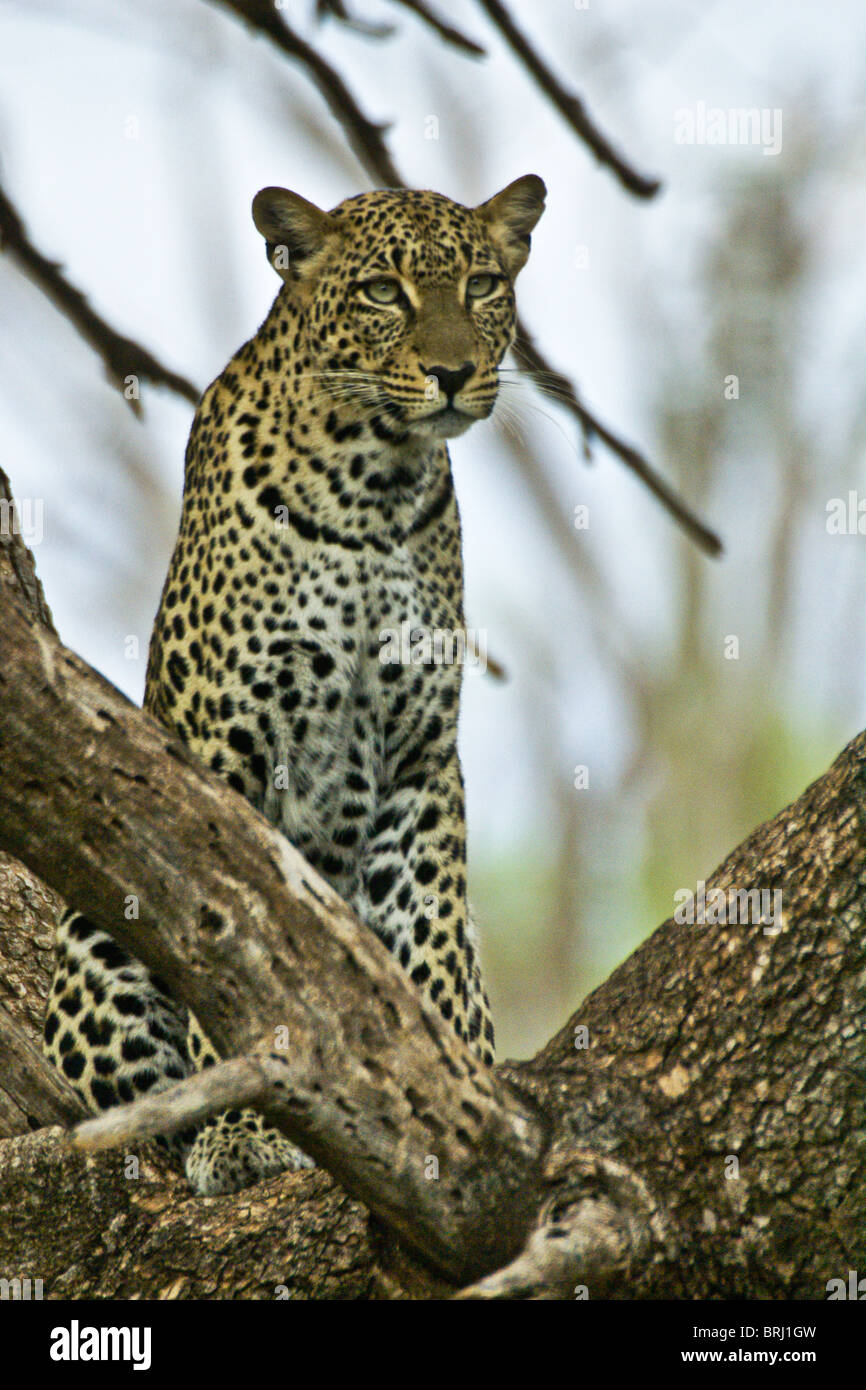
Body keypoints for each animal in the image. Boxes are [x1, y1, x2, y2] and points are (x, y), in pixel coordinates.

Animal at [43, 174, 547, 1195]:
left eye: (481, 284)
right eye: (383, 293)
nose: (453, 372)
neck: (374, 484)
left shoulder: (421, 756)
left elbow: (431, 925)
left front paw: (466, 1092)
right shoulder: (222, 757)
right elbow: (226, 949)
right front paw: (243, 1129)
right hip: (90, 934)